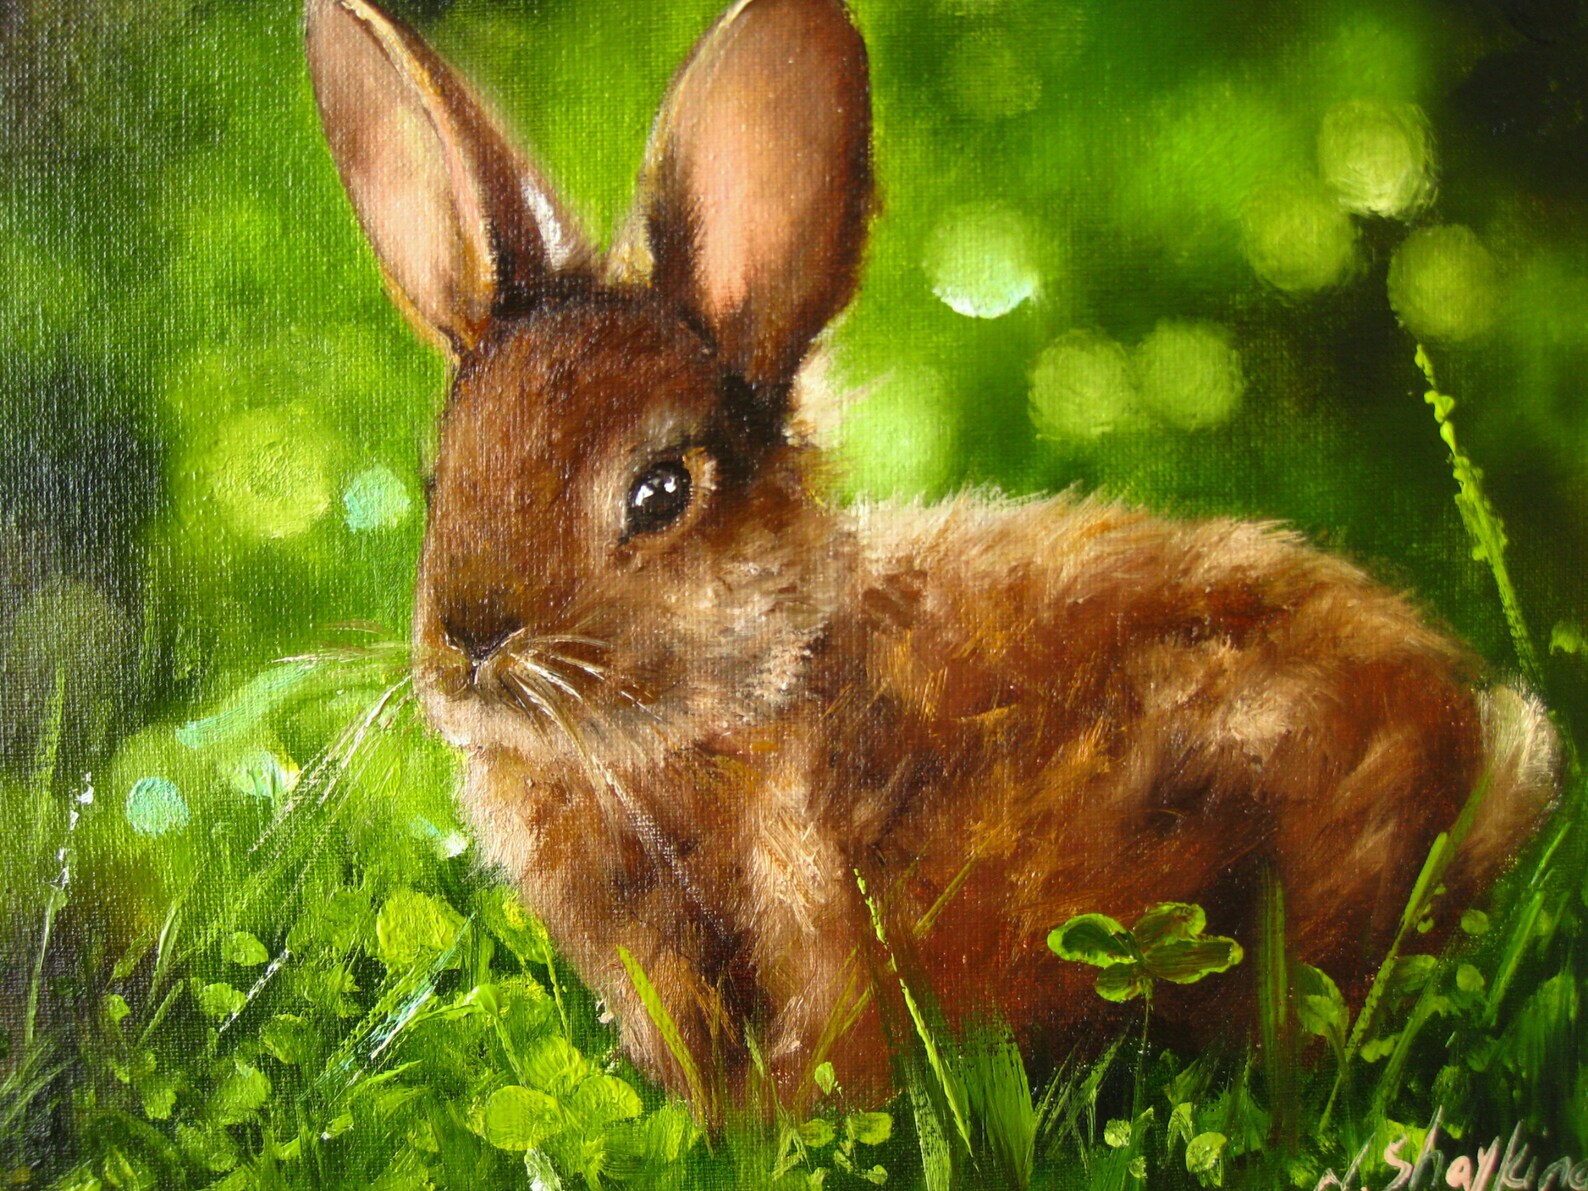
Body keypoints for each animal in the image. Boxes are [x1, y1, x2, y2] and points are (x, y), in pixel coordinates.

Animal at [306, 0, 1558, 1113]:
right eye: (439, 481)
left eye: (659, 492)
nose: (472, 642)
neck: (750, 696)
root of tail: (1476, 739)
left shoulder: (825, 921)